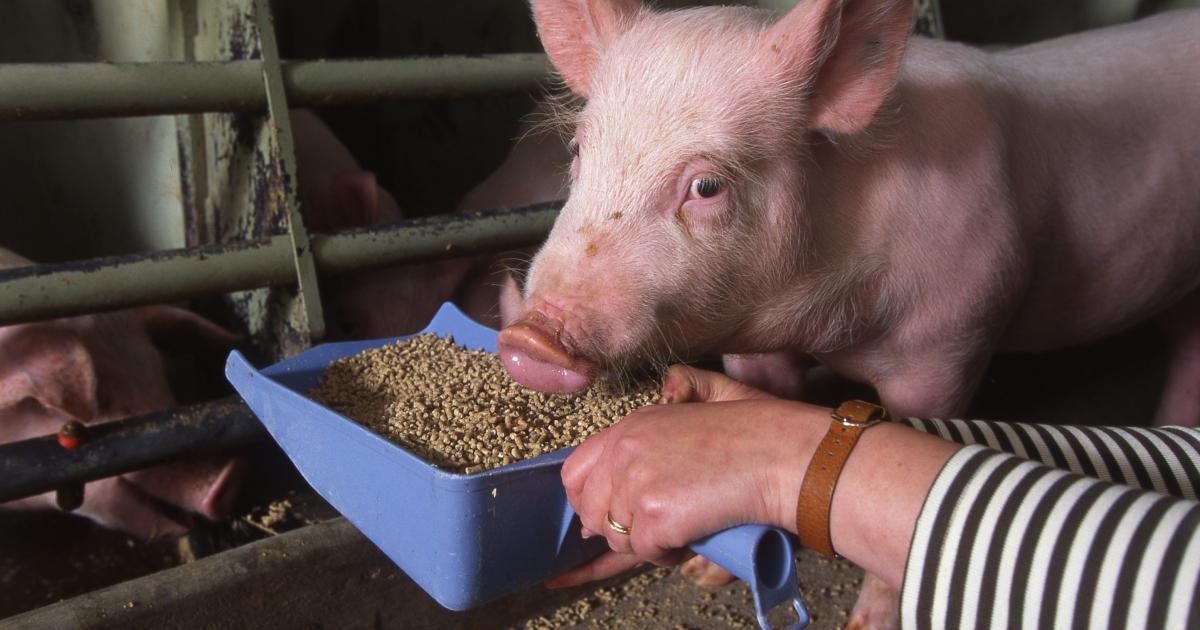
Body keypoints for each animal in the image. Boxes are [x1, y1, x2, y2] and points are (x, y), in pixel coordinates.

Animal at [498, 0, 1200, 627]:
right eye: (579, 150)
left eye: (706, 186)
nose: (529, 342)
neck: (830, 325)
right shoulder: (755, 339)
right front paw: (705, 574)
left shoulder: (956, 340)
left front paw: (867, 622)